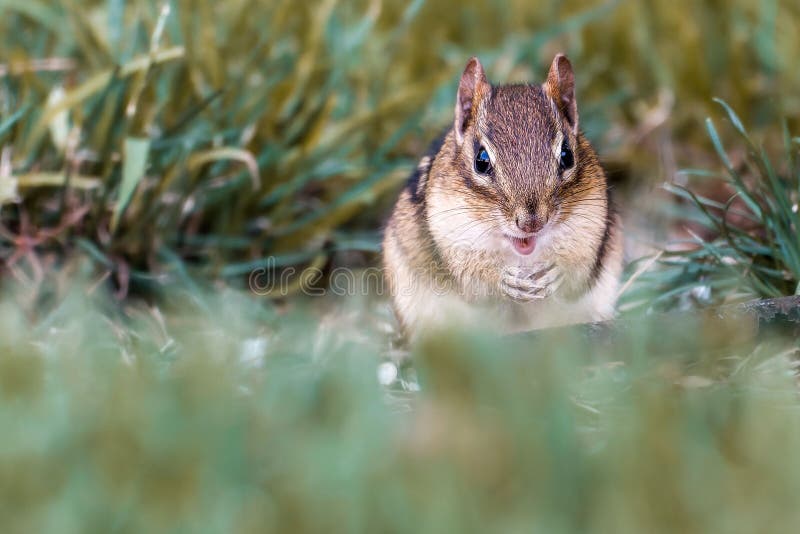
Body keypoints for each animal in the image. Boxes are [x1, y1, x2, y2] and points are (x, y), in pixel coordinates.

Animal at [382, 54, 623, 336]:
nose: (531, 223)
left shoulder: (589, 237)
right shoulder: (454, 244)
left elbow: (575, 276)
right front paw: (506, 280)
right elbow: (476, 282)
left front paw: (555, 275)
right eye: (481, 160)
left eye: (567, 156)